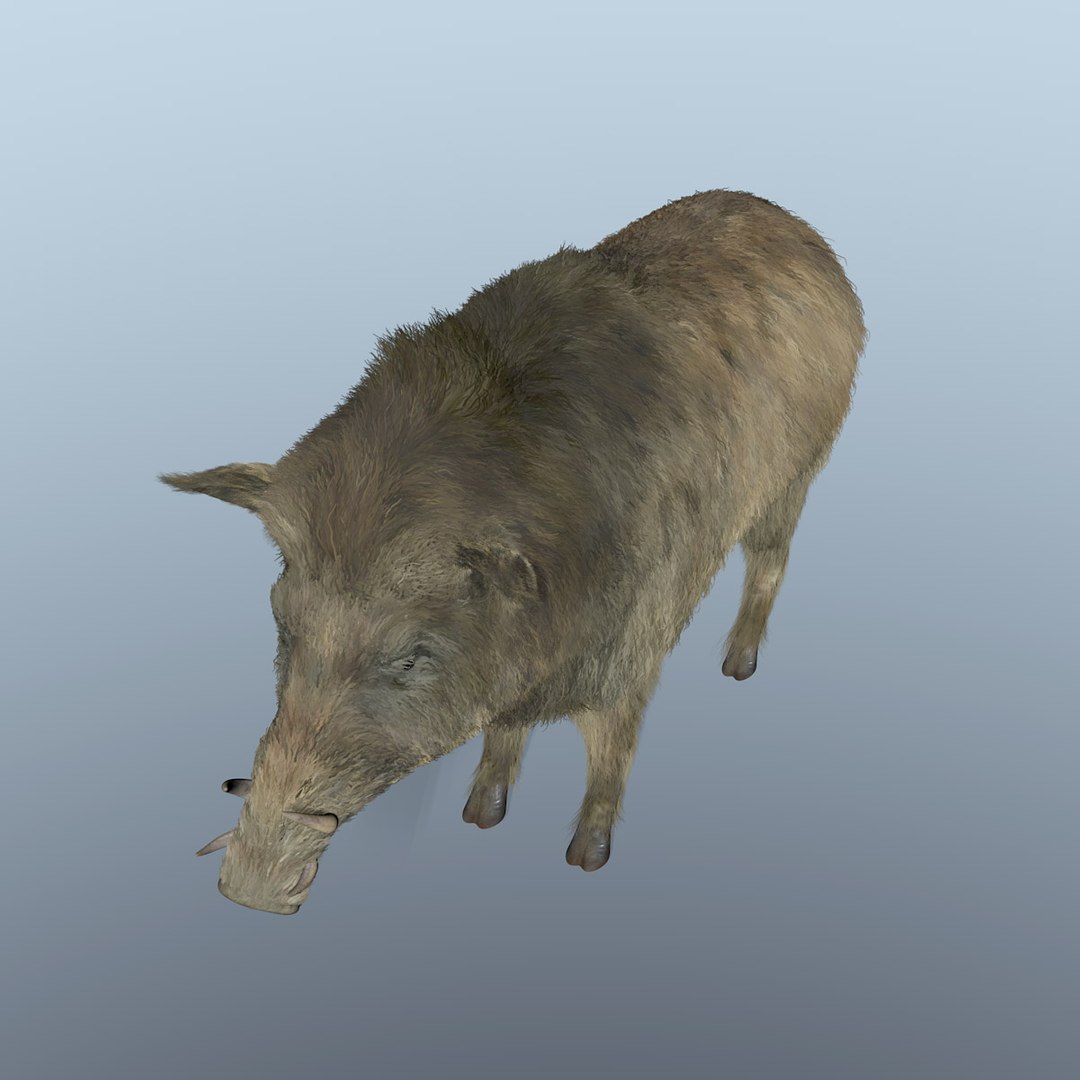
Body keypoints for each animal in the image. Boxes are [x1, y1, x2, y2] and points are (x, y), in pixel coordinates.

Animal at [160, 189, 865, 914]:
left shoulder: (633, 653)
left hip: (795, 476)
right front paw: (479, 817)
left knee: (771, 562)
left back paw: (738, 667)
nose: (247, 889)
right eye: (281, 619)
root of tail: (793, 224)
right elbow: (502, 737)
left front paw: (586, 860)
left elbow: (611, 754)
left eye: (413, 656)